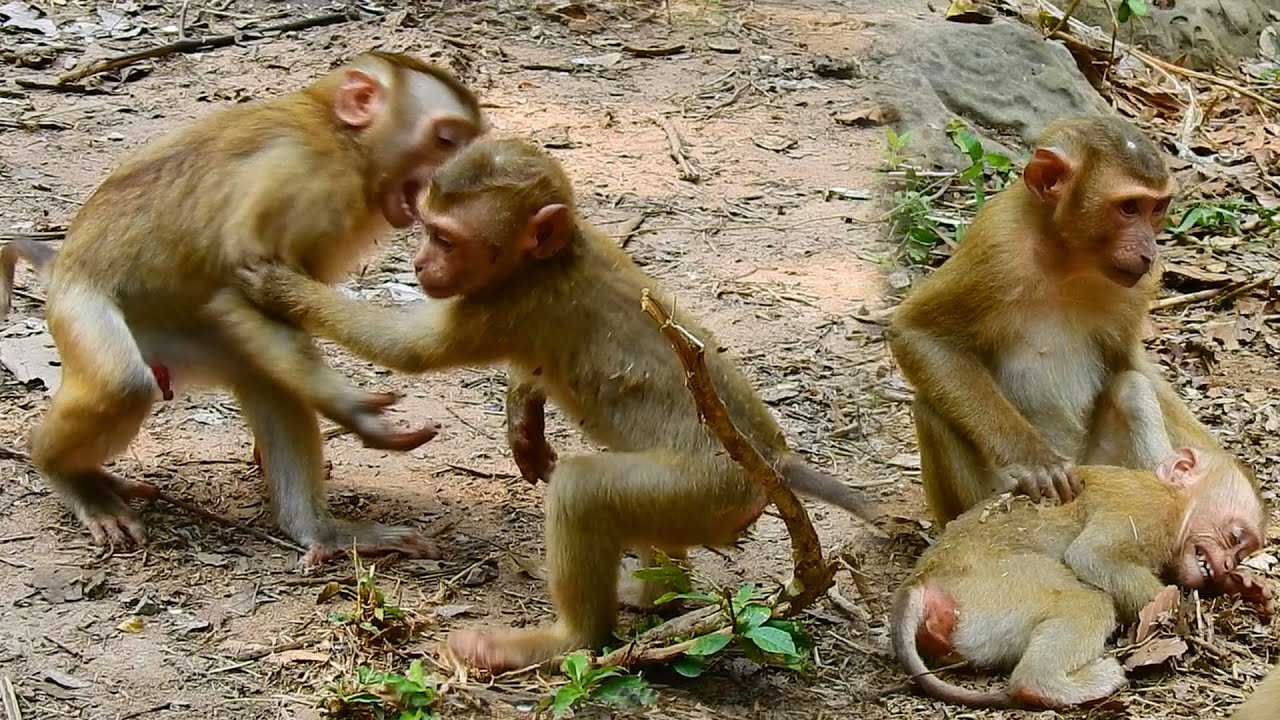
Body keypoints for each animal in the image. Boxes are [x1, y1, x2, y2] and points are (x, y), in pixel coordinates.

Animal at [23, 51, 485, 565]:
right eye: (445, 140)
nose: (455, 178)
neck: (343, 143)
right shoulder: (296, 182)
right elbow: (233, 292)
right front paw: (356, 413)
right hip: (77, 305)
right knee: (124, 383)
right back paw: (65, 473)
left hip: (203, 344)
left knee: (272, 381)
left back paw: (321, 532)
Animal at [235, 135, 882, 670]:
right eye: (425, 229)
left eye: (444, 238)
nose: (419, 263)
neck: (554, 255)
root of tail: (774, 459)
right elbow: (529, 374)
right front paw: (523, 417)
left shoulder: (505, 304)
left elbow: (408, 350)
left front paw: (281, 286)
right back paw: (654, 593)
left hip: (707, 490)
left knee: (586, 493)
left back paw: (567, 640)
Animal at [886, 115, 1219, 528]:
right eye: (1129, 208)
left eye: (1156, 209)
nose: (1148, 250)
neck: (1067, 256)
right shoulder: (996, 246)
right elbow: (919, 333)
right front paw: (1037, 462)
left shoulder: (1139, 285)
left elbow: (1126, 362)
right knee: (932, 406)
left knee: (1133, 389)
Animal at [892, 446, 1269, 709]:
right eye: (1236, 537)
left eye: (1241, 553)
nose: (1227, 564)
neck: (1173, 500)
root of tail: (921, 582)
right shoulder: (1146, 509)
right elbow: (1092, 556)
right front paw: (1177, 608)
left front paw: (1241, 586)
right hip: (994, 590)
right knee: (1085, 601)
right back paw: (1045, 685)